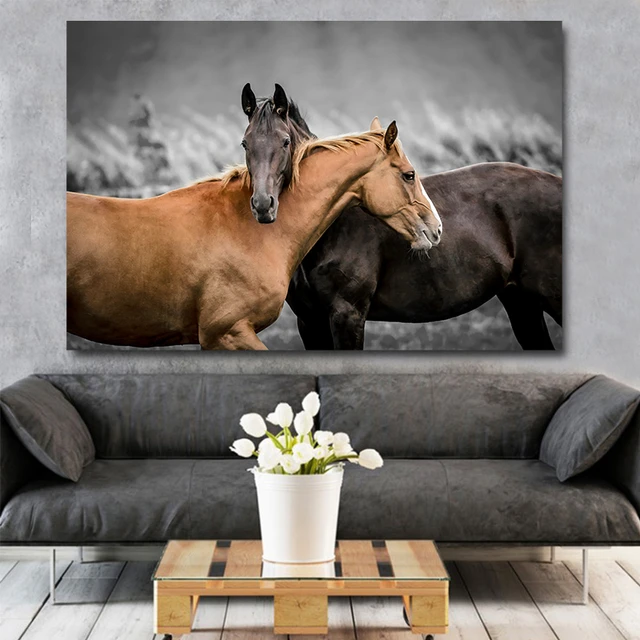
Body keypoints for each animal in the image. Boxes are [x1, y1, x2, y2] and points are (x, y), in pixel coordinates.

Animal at [240, 88, 562, 350]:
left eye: (285, 142)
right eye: (245, 144)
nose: (263, 205)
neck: (331, 230)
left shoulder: (347, 315)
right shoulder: (309, 322)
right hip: (521, 302)